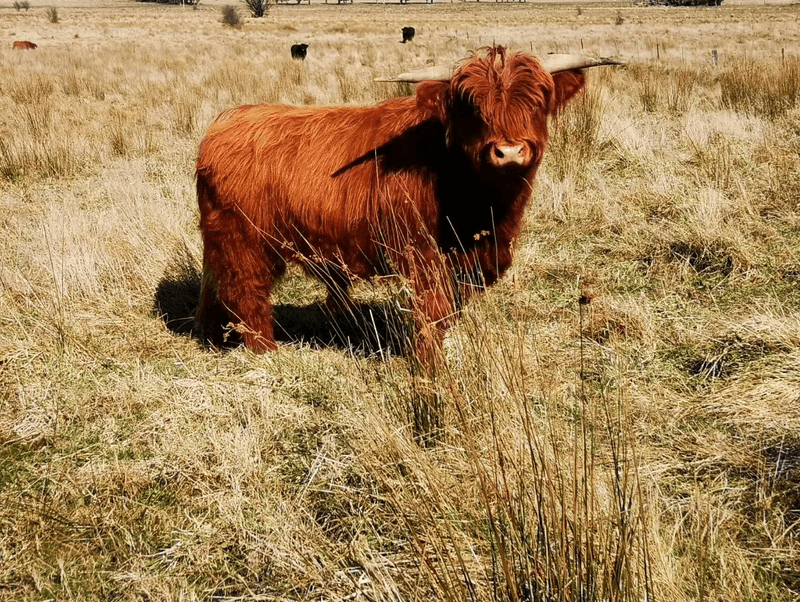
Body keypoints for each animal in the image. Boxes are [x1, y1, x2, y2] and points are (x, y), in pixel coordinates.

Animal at [195, 46, 621, 363]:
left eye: (537, 101)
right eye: (472, 107)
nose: (510, 152)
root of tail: (224, 121)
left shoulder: (474, 255)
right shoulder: (420, 250)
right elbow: (434, 307)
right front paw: (430, 361)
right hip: (242, 240)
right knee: (247, 292)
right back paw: (265, 351)